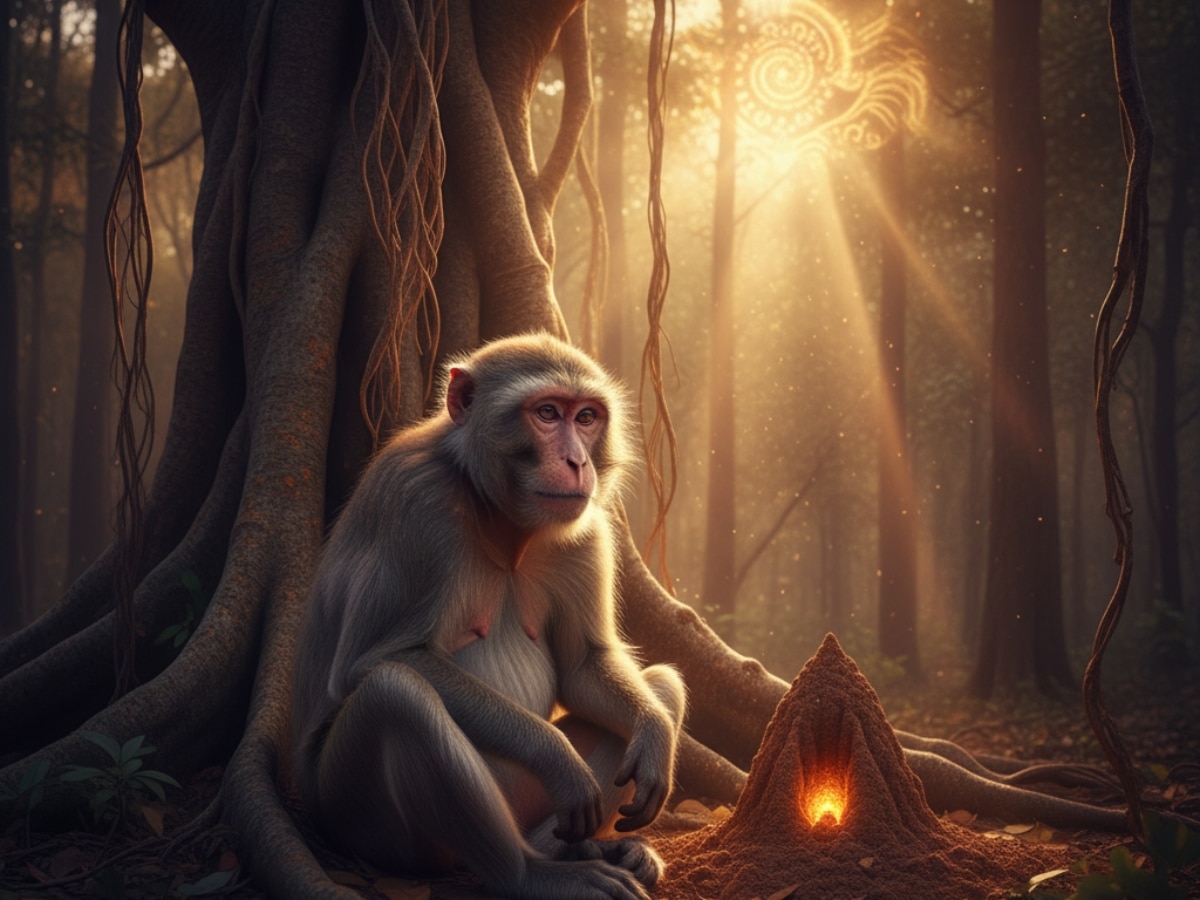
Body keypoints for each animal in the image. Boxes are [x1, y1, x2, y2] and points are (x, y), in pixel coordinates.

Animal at [291, 333, 685, 900]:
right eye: (547, 413)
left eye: (587, 417)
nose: (576, 462)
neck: (501, 520)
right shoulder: (414, 499)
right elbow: (376, 660)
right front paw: (555, 754)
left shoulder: (585, 529)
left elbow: (584, 667)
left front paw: (652, 733)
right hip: (356, 815)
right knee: (396, 694)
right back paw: (531, 874)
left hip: (527, 803)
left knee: (663, 686)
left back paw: (573, 849)